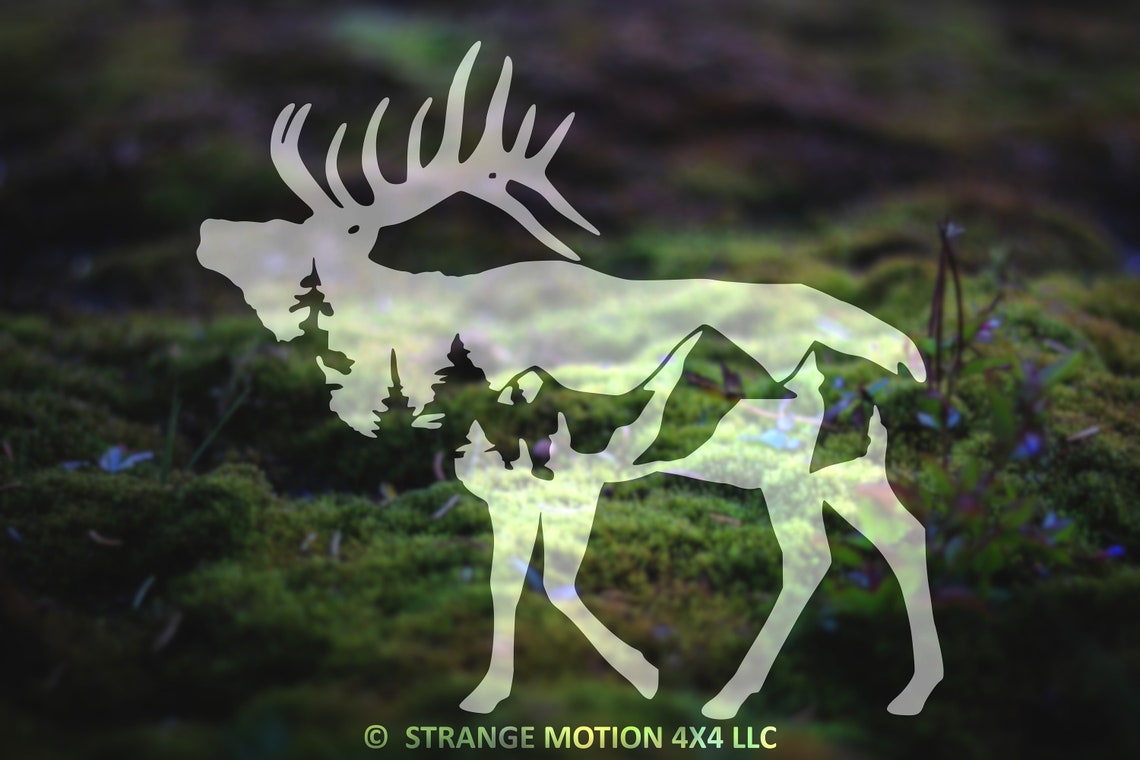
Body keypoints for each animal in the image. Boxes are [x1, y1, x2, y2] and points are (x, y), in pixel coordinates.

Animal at [195, 42, 942, 719]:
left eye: (307, 242)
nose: (209, 231)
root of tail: (890, 345)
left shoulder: (572, 473)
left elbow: (555, 584)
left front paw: (643, 674)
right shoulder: (503, 488)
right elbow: (504, 584)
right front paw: (487, 694)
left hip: (782, 459)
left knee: (814, 558)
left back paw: (732, 697)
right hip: (842, 460)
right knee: (902, 532)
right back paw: (909, 691)